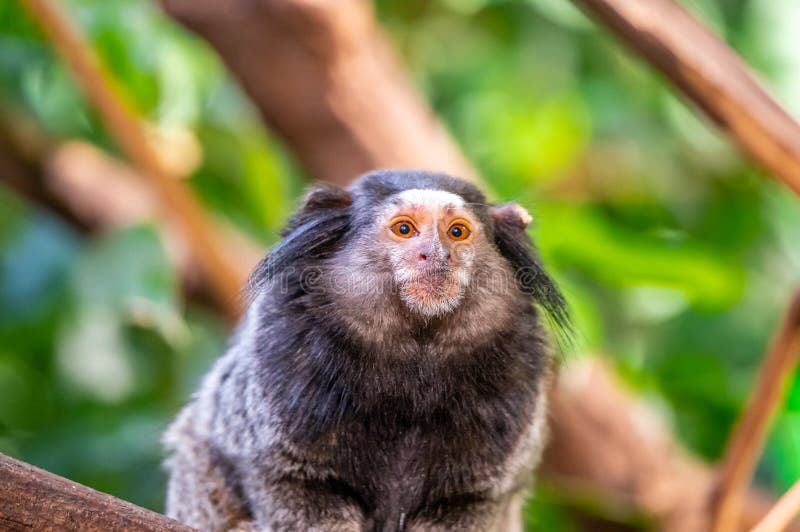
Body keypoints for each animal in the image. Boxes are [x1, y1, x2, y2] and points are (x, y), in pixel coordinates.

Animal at [163, 169, 570, 531]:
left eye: (457, 232)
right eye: (404, 229)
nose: (436, 255)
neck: (416, 357)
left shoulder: (517, 383)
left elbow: (472, 499)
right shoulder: (278, 357)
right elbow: (284, 476)